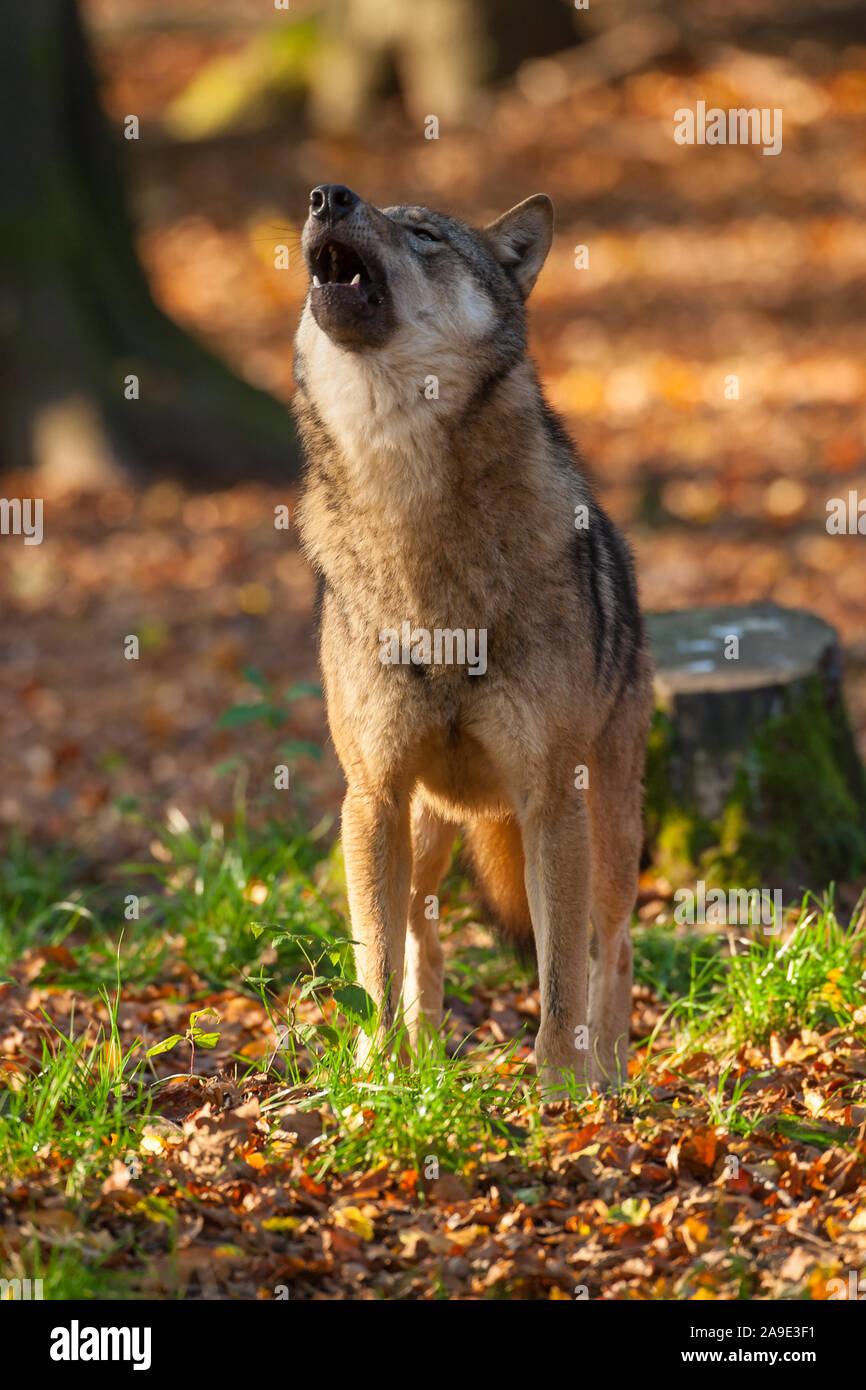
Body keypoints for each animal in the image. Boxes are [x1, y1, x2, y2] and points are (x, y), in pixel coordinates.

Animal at [293, 183, 653, 1093]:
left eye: (422, 233)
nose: (326, 195)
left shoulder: (552, 799)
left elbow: (561, 976)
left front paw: (560, 1092)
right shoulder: (373, 797)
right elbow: (375, 968)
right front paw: (379, 1082)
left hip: (607, 827)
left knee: (614, 945)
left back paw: (612, 1075)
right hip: (422, 830)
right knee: (422, 939)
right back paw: (424, 1062)